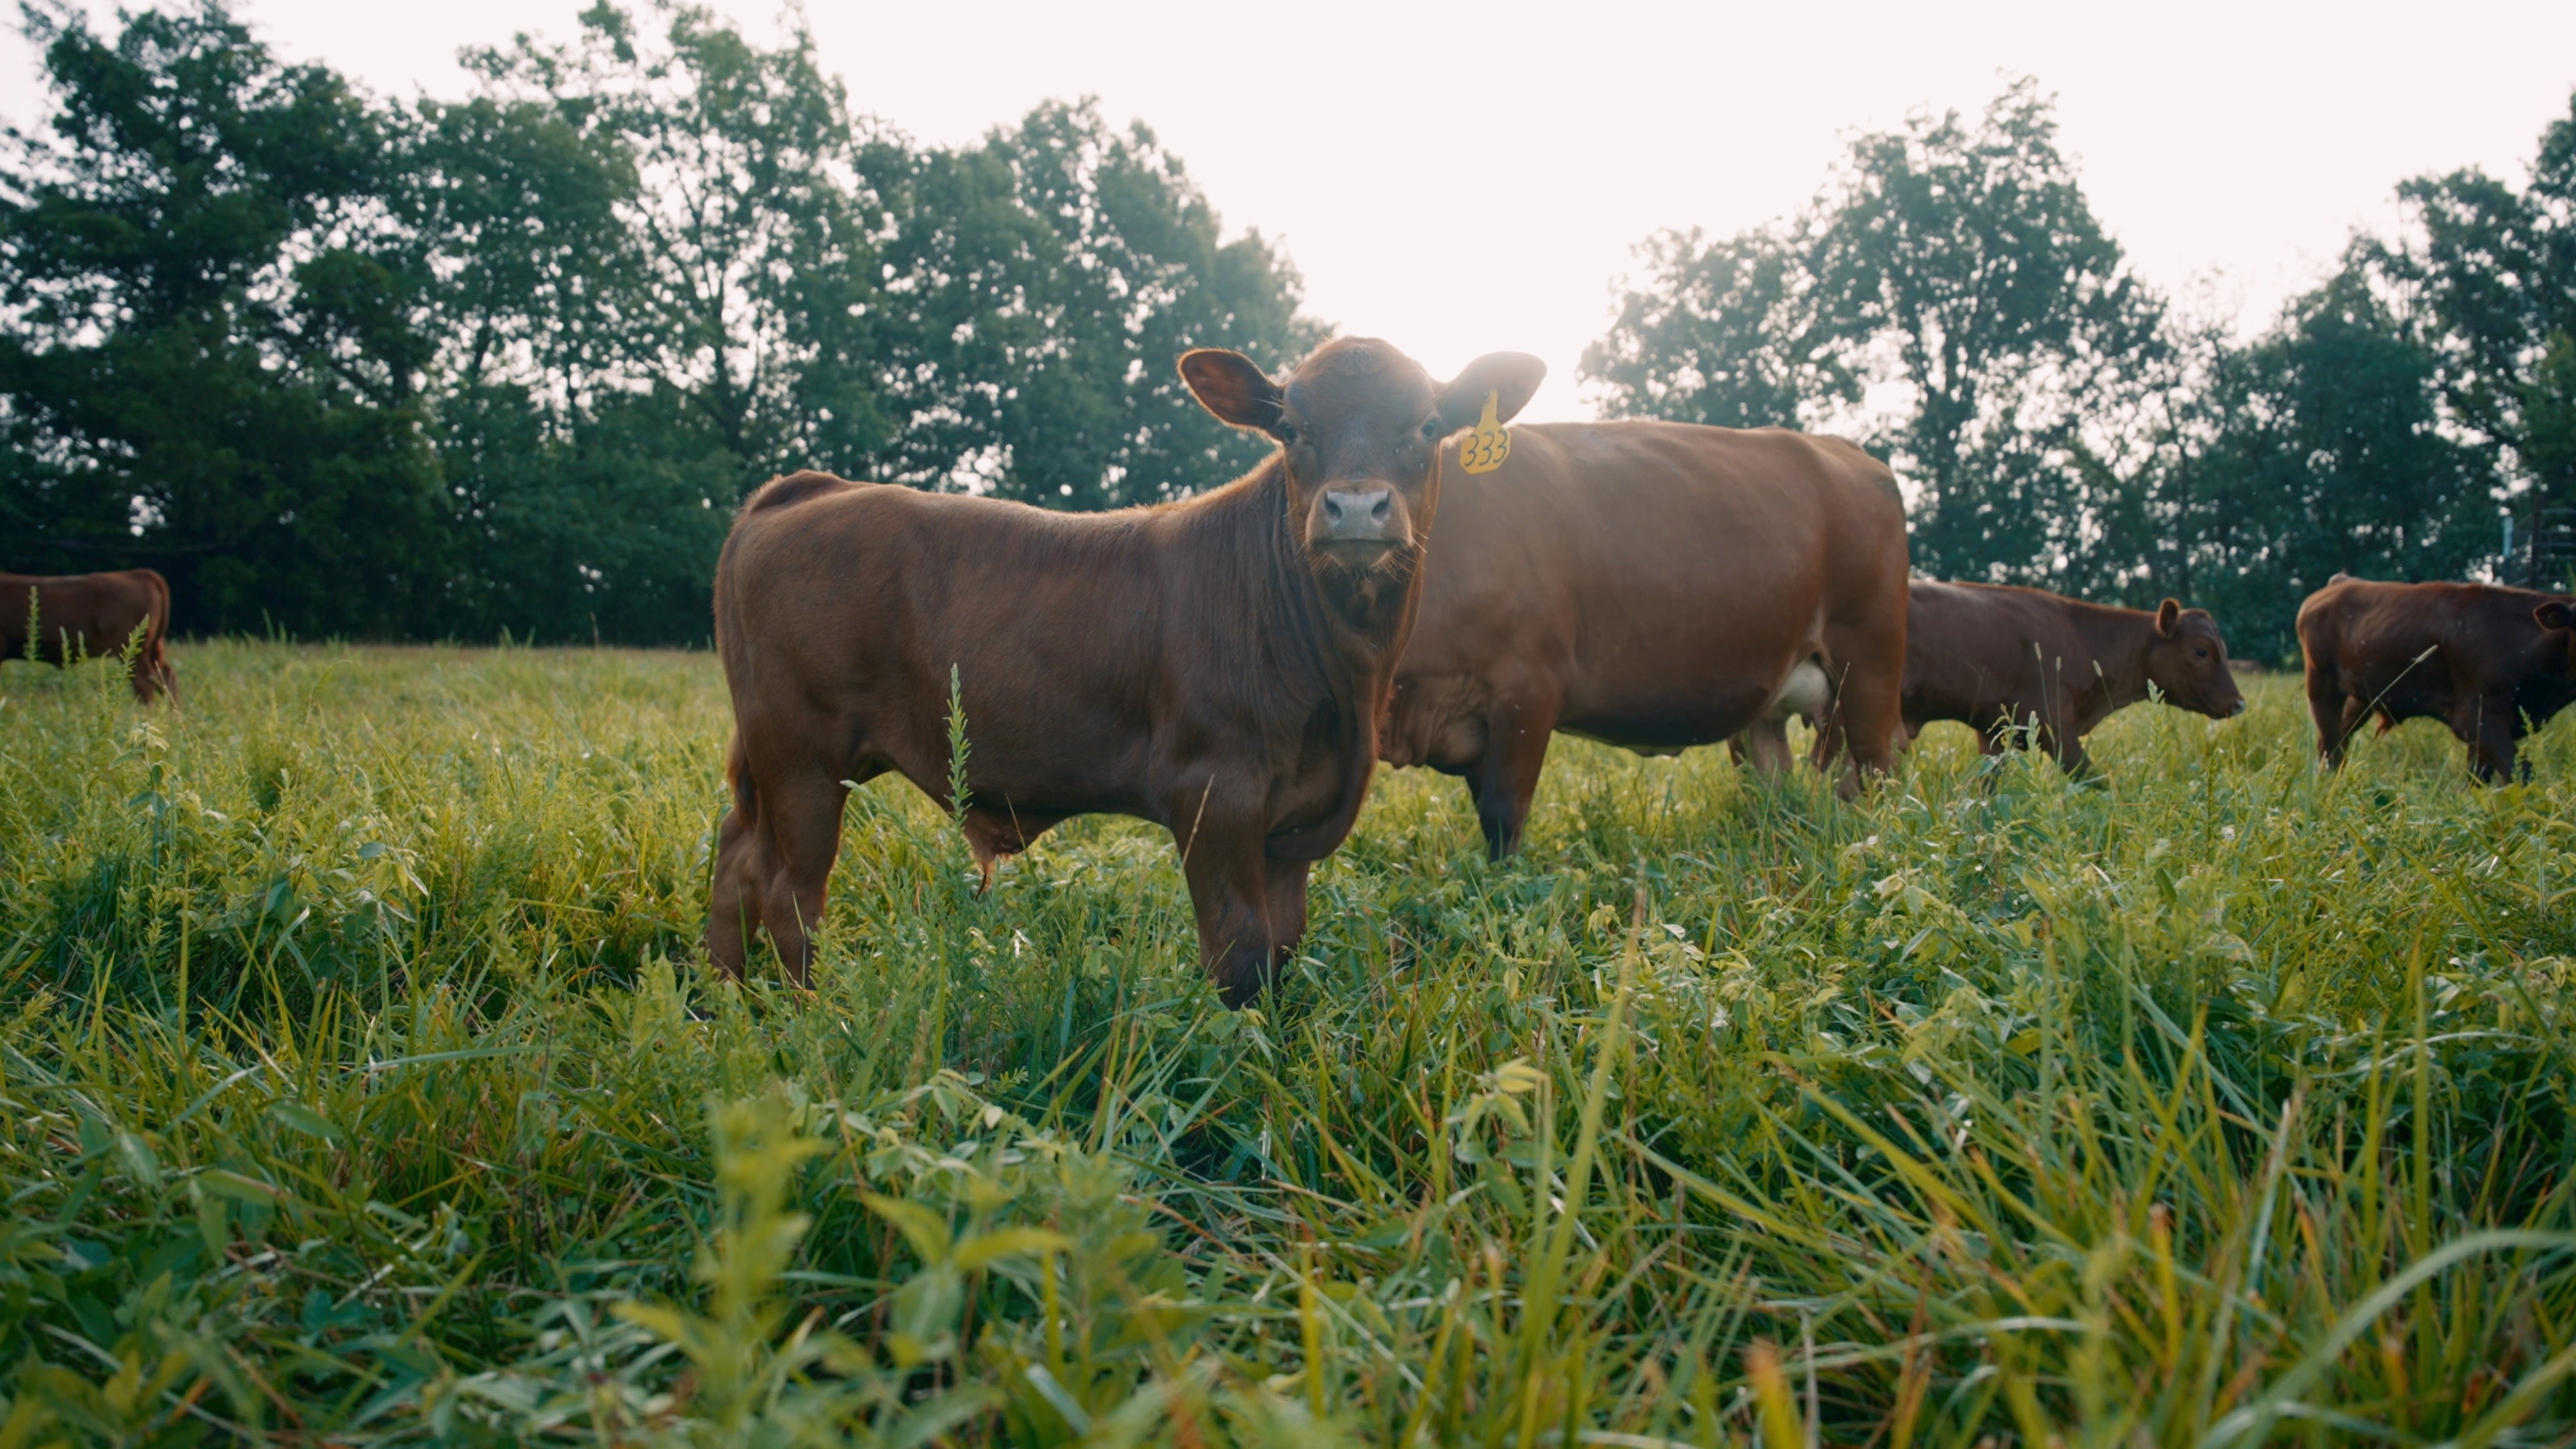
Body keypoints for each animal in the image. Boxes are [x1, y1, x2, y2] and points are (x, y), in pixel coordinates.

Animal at [706, 338, 1546, 1004]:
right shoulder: (1214, 794)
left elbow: (1282, 946)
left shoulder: (1292, 824)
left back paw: (725, 1002)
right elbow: (1240, 953)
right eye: (1291, 429)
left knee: (736, 859)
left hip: (772, 759)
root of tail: (807, 489)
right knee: (788, 891)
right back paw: (811, 1014)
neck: (1345, 685)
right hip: (804, 756)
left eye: (1428, 427)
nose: (1356, 508)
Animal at [1377, 424, 1909, 860]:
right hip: (1779, 695)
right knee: (1774, 779)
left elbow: (1502, 811)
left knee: (1878, 767)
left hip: (1870, 665)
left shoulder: (1528, 692)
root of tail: (1846, 449)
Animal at [2296, 575, 2576, 783]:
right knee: (2331, 745)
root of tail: (2341, 582)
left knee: (2337, 739)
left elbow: (2477, 776)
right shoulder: (2477, 717)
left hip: (2362, 698)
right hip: (2322, 687)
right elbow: (2519, 771)